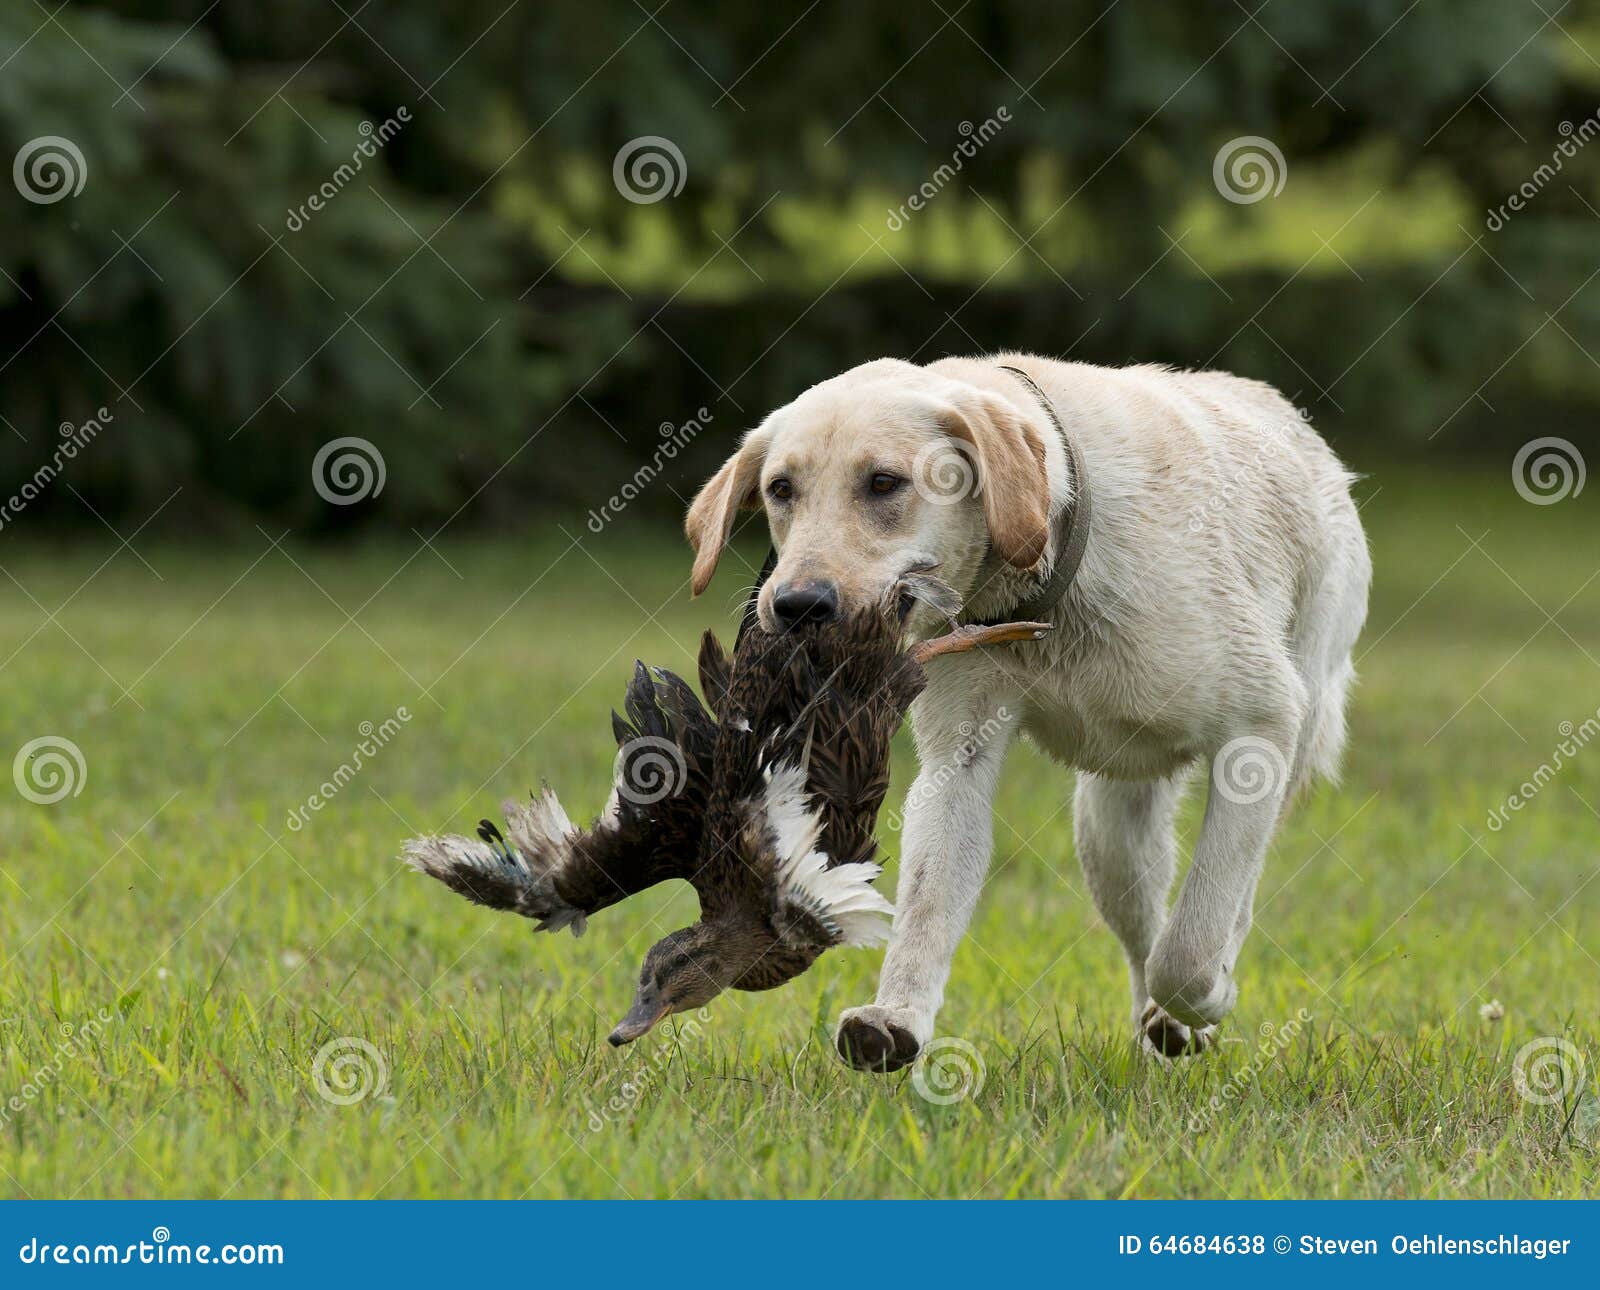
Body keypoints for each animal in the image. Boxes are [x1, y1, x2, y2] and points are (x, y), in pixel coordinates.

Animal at [681, 353, 1369, 1069]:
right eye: (781, 489)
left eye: (883, 483)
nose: (795, 606)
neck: (1046, 583)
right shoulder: (956, 762)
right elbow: (928, 900)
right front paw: (896, 1015)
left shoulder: (1261, 729)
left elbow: (1192, 945)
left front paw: (1211, 999)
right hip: (1110, 835)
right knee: (1143, 933)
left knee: (1224, 910)